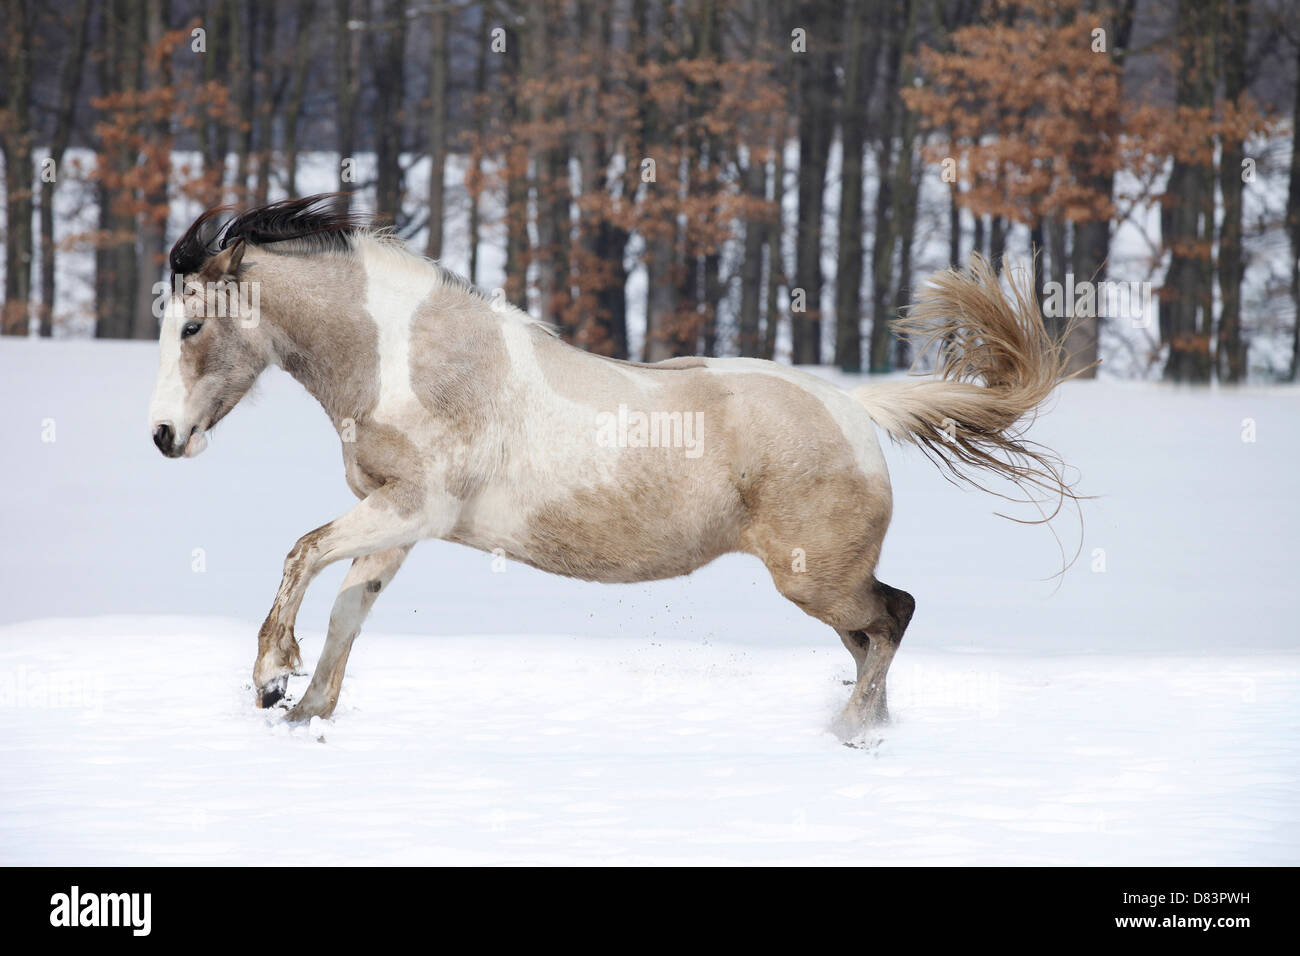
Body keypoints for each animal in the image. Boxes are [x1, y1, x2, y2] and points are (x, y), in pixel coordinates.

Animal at [148, 194, 1077, 741]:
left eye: (192, 327)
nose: (161, 435)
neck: (416, 362)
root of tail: (856, 410)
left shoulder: (412, 508)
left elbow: (301, 551)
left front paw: (270, 680)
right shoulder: (396, 522)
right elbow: (346, 611)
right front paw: (306, 712)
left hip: (815, 576)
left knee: (891, 619)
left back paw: (849, 733)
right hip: (822, 581)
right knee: (876, 633)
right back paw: (868, 731)